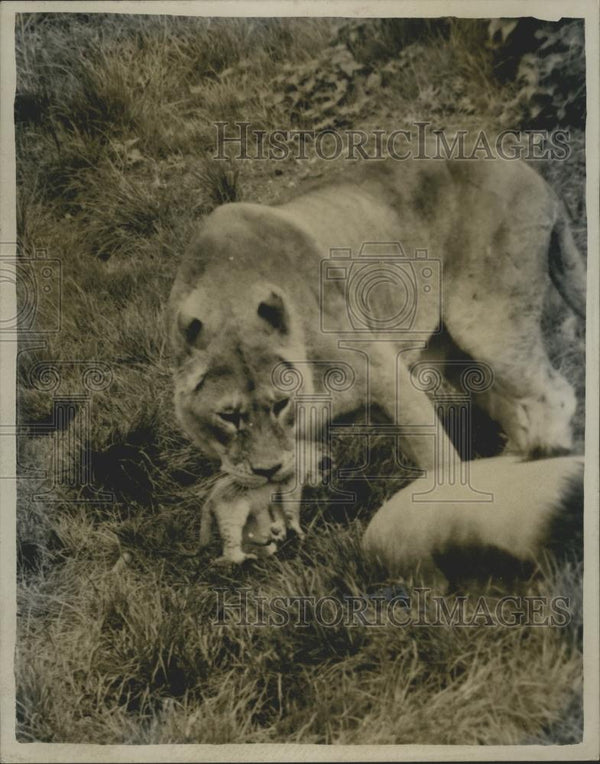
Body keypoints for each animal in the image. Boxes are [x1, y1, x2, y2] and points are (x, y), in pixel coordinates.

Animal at [168, 157, 585, 564]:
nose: (267, 469)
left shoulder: (391, 381)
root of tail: (527, 170)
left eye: (280, 403)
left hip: (486, 324)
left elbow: (442, 466)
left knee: (555, 397)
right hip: (463, 359)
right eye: (228, 416)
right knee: (518, 411)